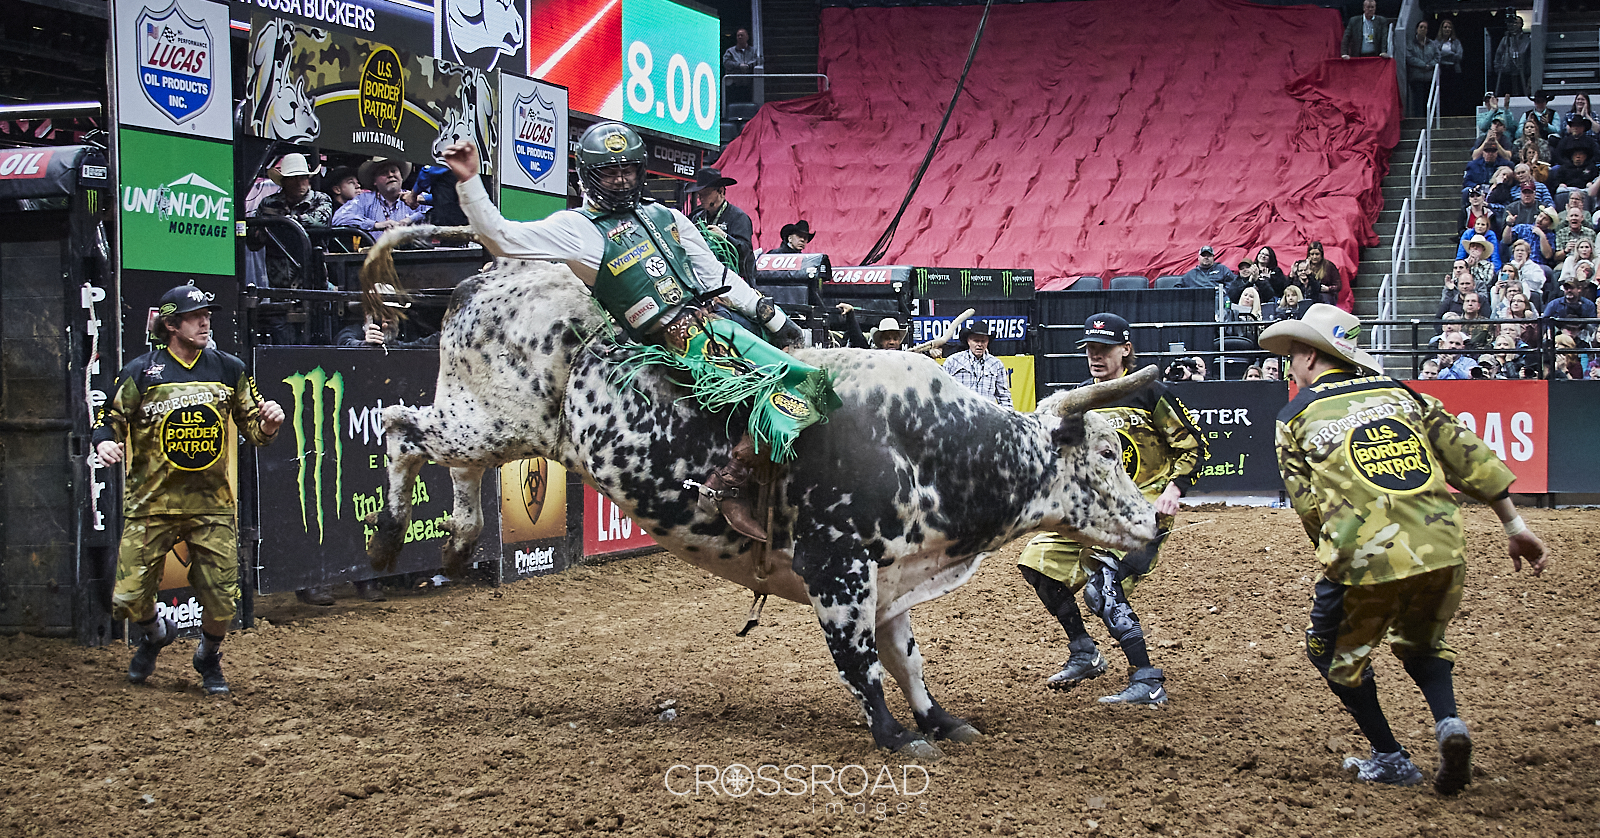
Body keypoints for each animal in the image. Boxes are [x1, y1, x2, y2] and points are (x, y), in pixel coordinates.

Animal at [363, 232, 1157, 758]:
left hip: (493, 429)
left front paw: (940, 719)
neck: (922, 442)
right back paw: (391, 542)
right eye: (1104, 454)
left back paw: (458, 540)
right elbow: (860, 662)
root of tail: (484, 279)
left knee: (443, 458)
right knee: (400, 432)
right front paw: (896, 736)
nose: (1155, 519)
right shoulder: (836, 570)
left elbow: (906, 659)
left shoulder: (891, 576)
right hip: (488, 417)